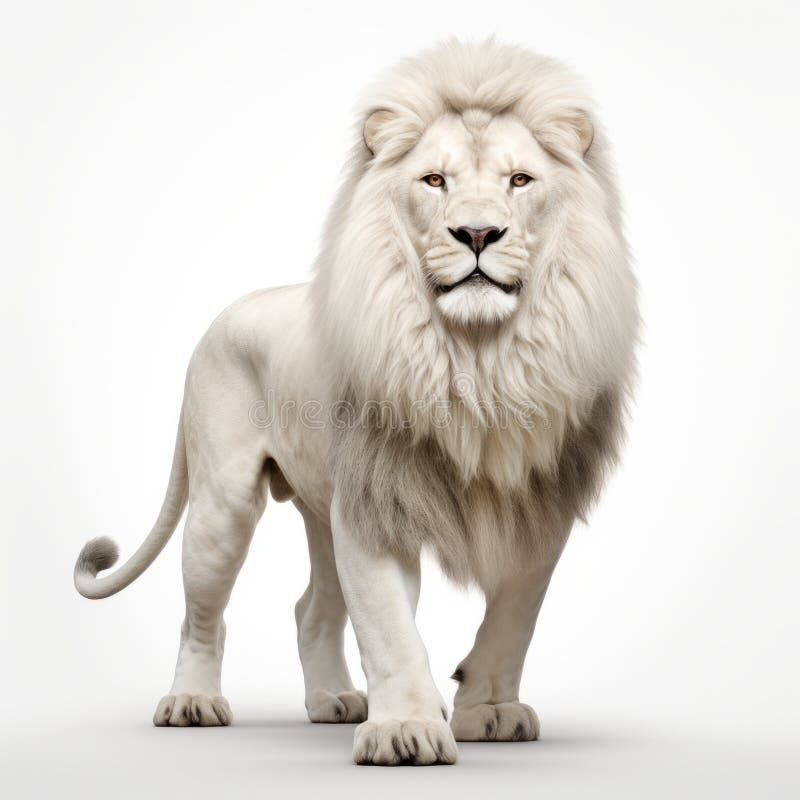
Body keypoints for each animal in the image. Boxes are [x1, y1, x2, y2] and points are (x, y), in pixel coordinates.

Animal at [74, 39, 638, 766]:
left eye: (520, 181)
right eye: (434, 181)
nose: (477, 233)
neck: (477, 361)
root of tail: (223, 316)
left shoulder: (540, 503)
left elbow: (515, 616)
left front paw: (488, 709)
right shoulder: (375, 499)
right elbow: (390, 624)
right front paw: (406, 731)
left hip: (319, 509)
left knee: (310, 608)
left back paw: (334, 701)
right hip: (223, 504)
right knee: (203, 613)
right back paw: (191, 703)